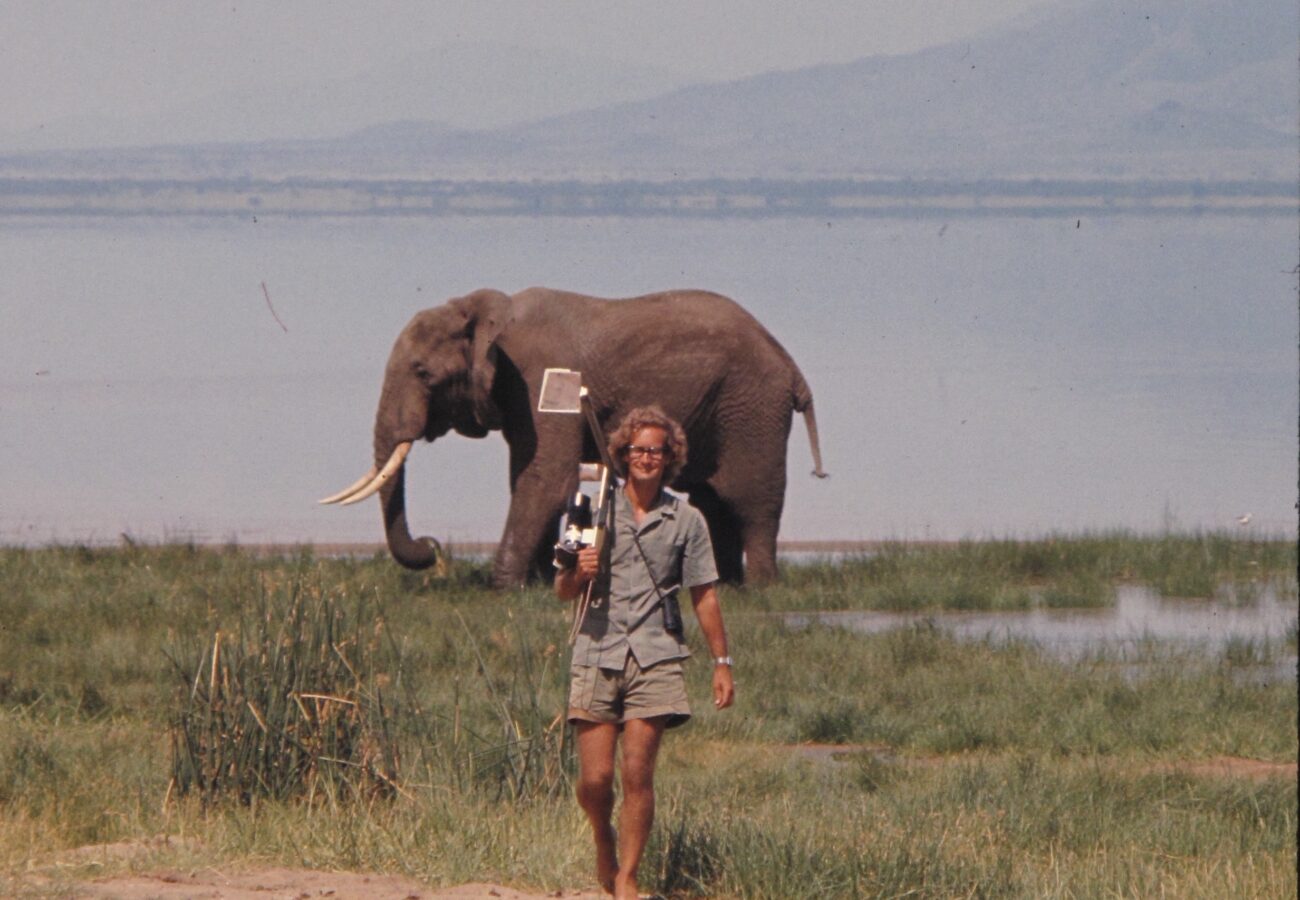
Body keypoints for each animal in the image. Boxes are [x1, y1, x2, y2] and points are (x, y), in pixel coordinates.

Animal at [322, 287, 826, 587]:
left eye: (423, 373)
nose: (432, 547)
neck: (486, 314)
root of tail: (792, 367)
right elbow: (528, 477)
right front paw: (539, 583)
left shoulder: (542, 378)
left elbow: (546, 479)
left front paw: (504, 587)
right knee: (712, 499)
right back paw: (721, 584)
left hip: (753, 408)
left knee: (750, 499)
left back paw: (758, 588)